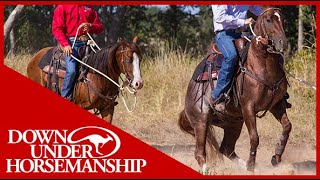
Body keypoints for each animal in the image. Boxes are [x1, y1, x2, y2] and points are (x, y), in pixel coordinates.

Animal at [179, 7, 292, 172]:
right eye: (269, 20)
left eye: (283, 19)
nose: (282, 42)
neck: (260, 65)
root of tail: (191, 88)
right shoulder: (248, 108)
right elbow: (254, 138)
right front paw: (251, 166)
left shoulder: (276, 105)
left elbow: (287, 127)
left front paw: (276, 156)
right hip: (201, 121)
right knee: (200, 152)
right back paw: (208, 170)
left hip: (233, 123)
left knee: (226, 148)